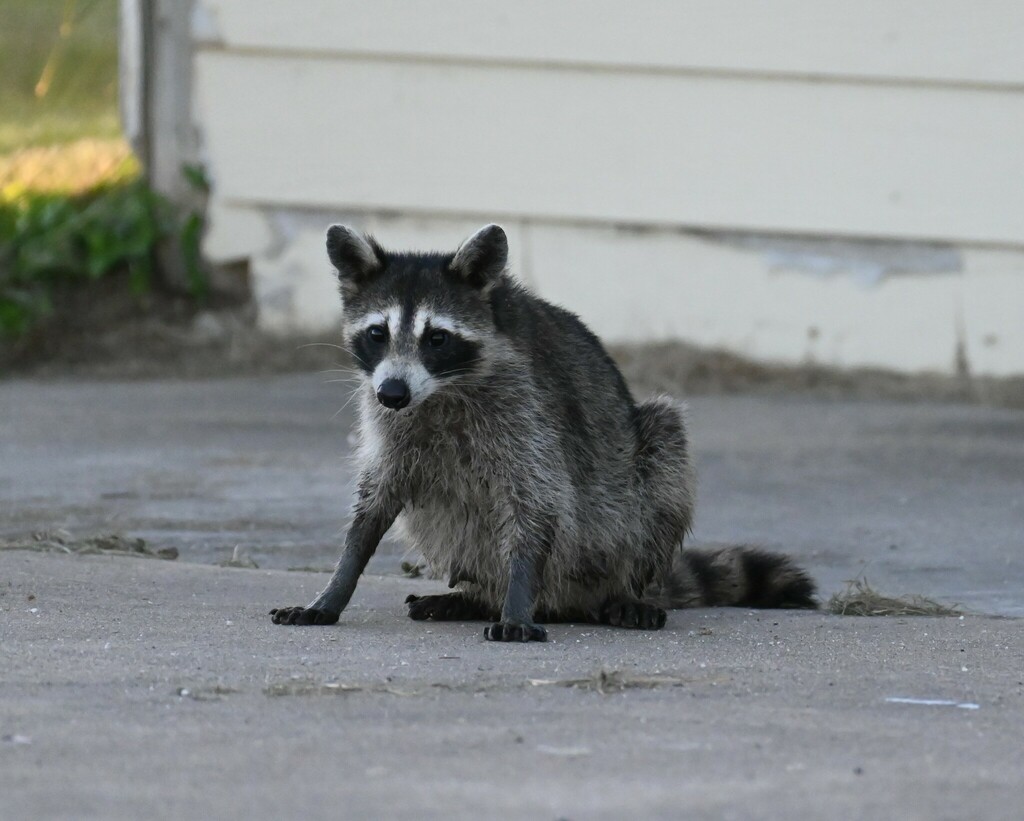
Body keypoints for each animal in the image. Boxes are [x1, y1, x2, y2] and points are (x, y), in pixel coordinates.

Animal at [270, 224, 815, 641]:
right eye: (377, 333)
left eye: (437, 338)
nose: (393, 392)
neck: (438, 391)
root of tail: (567, 599)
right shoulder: (390, 425)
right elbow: (375, 501)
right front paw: (335, 587)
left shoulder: (528, 415)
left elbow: (537, 501)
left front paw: (516, 599)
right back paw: (476, 596)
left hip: (621, 516)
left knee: (663, 447)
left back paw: (619, 593)